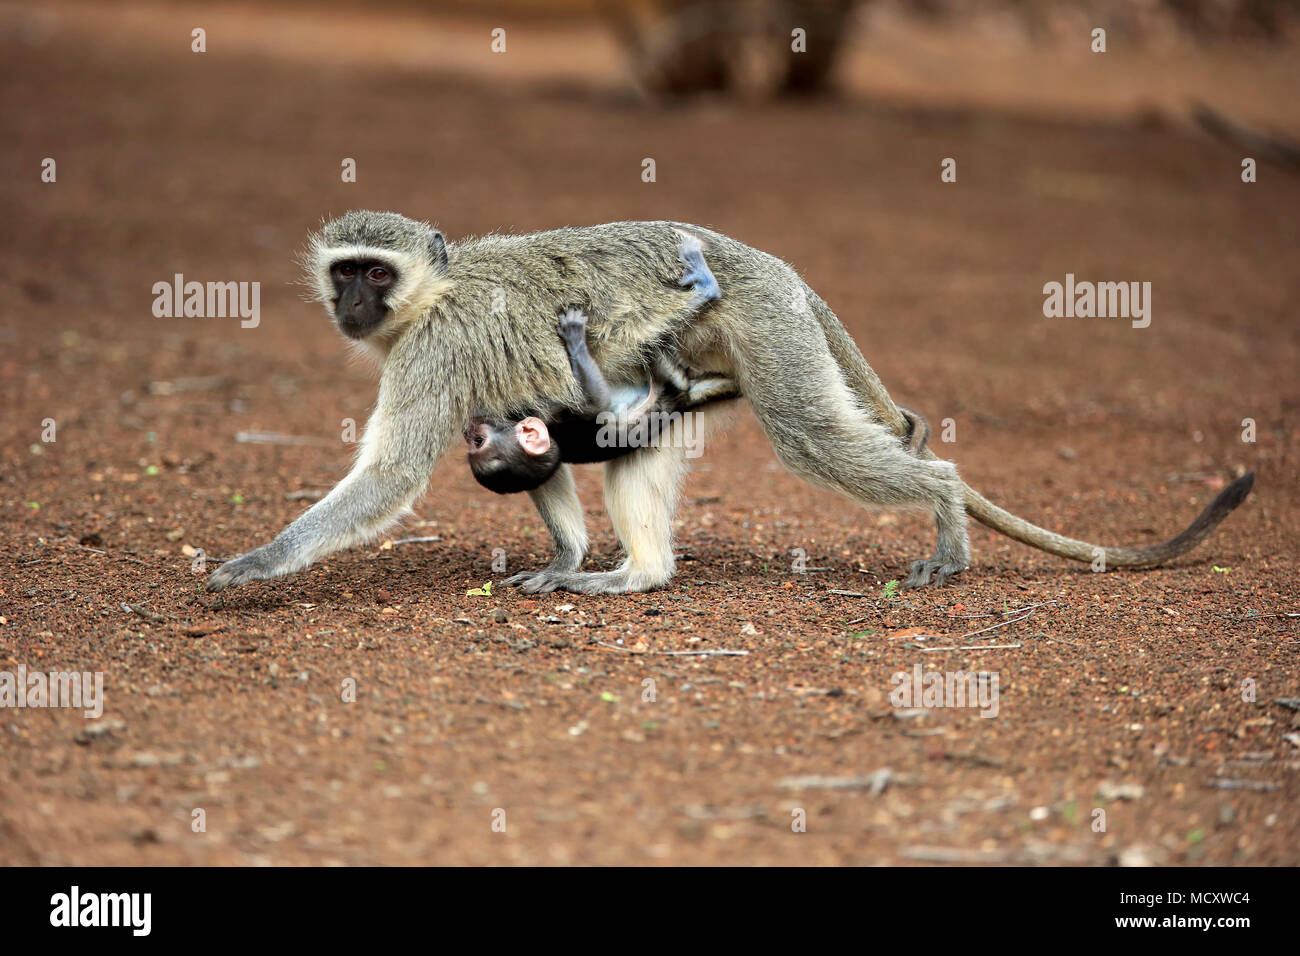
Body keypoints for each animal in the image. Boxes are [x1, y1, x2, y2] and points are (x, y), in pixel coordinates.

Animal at [466, 306, 739, 495]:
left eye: (476, 441)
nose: (467, 431)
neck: (555, 437)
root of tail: (679, 400)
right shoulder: (561, 417)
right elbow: (597, 403)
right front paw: (575, 338)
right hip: (671, 380)